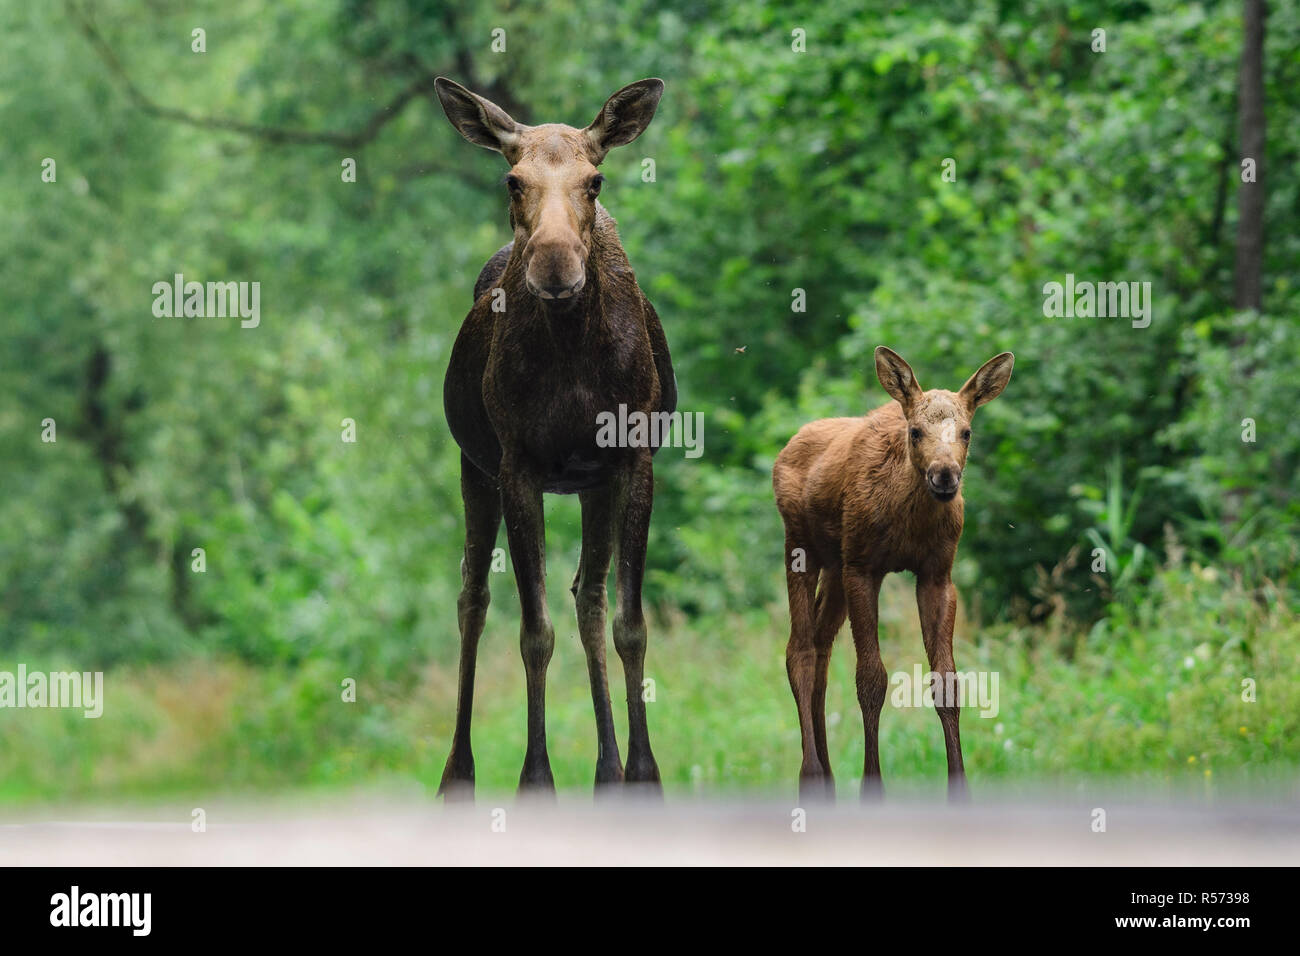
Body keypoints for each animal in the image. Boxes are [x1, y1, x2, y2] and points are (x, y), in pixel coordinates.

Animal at [432, 76, 675, 799]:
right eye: (513, 180)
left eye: (595, 180)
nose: (555, 263)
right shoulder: (518, 466)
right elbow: (533, 632)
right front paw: (535, 778)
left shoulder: (632, 459)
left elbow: (629, 621)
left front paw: (643, 773)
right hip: (474, 466)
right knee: (474, 599)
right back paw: (458, 774)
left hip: (591, 484)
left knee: (587, 597)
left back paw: (608, 769)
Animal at [772, 346, 1014, 801]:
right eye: (915, 431)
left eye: (967, 432)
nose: (944, 475)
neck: (910, 519)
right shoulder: (864, 568)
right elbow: (871, 679)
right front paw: (872, 787)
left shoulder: (937, 574)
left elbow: (947, 682)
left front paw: (959, 789)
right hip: (801, 547)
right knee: (800, 650)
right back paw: (810, 775)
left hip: (835, 566)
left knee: (821, 645)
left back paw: (828, 776)